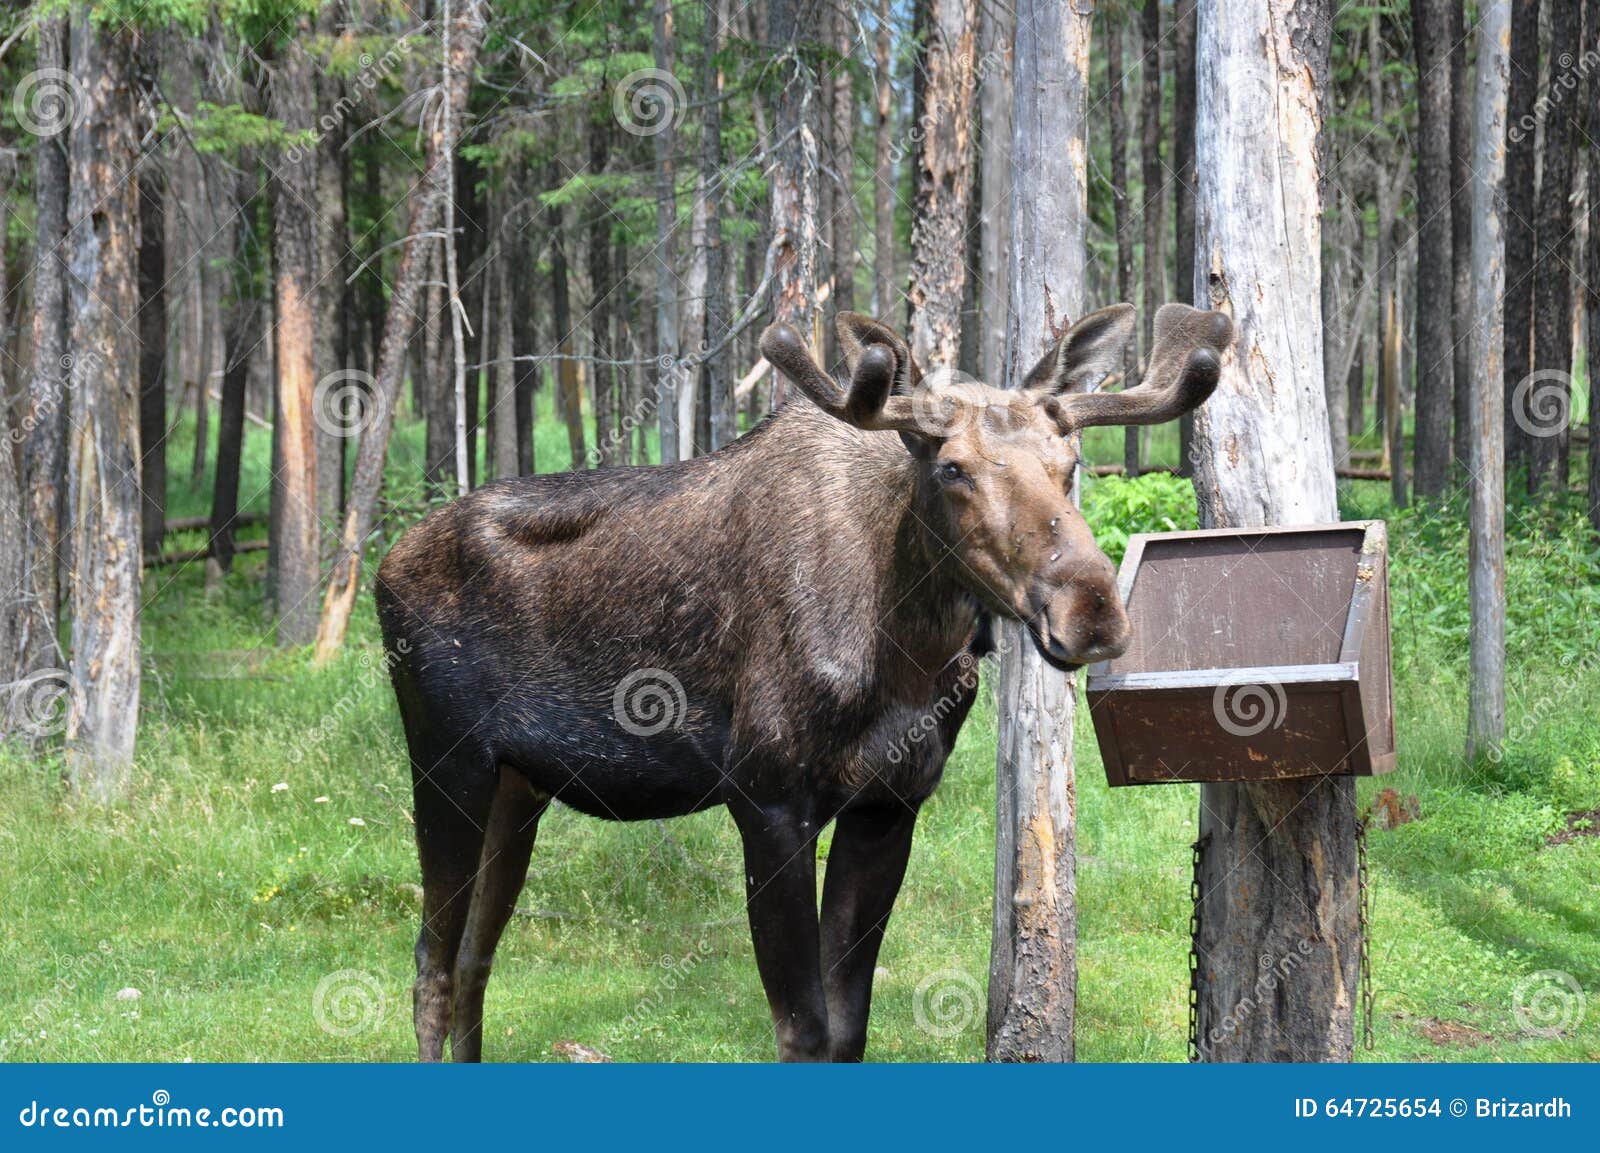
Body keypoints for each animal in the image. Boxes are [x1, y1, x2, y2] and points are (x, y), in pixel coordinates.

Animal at [374, 301, 1232, 1062]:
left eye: (1070, 465)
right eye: (952, 468)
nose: (1090, 610)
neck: (902, 651)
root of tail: (384, 566)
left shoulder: (888, 804)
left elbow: (850, 1029)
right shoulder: (766, 799)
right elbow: (805, 1031)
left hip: (519, 783)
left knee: (476, 960)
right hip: (447, 761)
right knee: (432, 966)